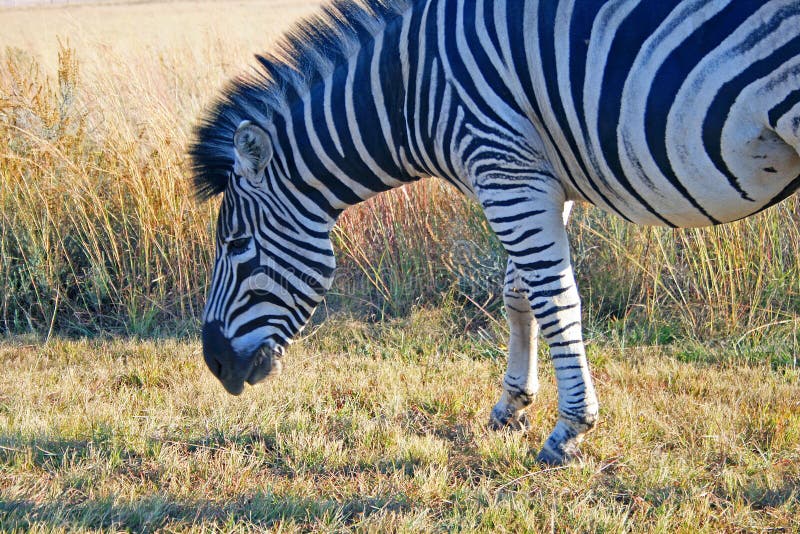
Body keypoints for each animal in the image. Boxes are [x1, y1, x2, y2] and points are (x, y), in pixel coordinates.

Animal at [190, 0, 800, 465]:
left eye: (235, 246)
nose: (214, 364)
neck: (411, 92)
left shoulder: (505, 170)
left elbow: (555, 300)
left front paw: (569, 432)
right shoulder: (538, 177)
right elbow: (518, 292)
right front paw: (513, 405)